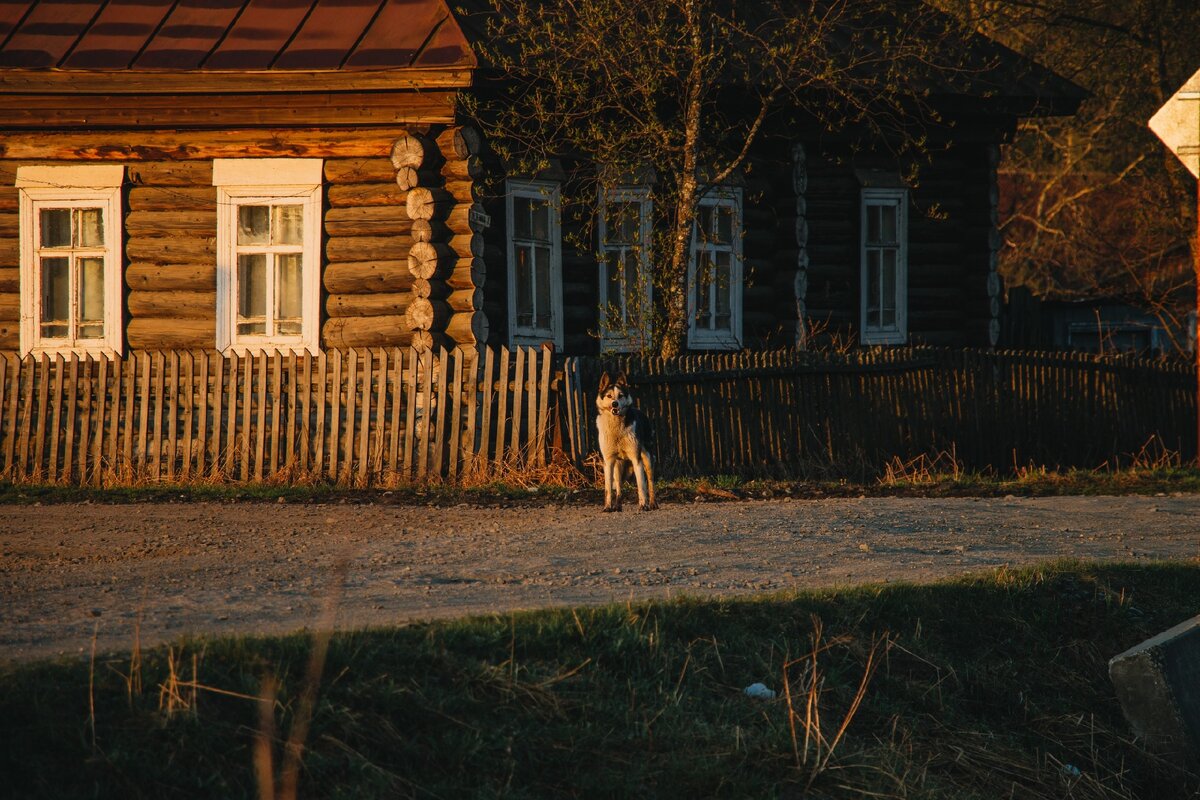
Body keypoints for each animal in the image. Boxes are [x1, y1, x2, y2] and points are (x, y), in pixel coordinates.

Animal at [592, 371, 657, 510]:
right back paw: (617, 506)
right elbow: (608, 488)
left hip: (647, 459)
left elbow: (641, 486)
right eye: (609, 396)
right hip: (618, 465)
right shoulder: (608, 461)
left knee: (650, 482)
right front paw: (608, 507)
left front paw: (643, 505)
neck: (616, 428)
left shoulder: (636, 459)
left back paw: (653, 503)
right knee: (618, 486)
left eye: (620, 396)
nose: (614, 404)